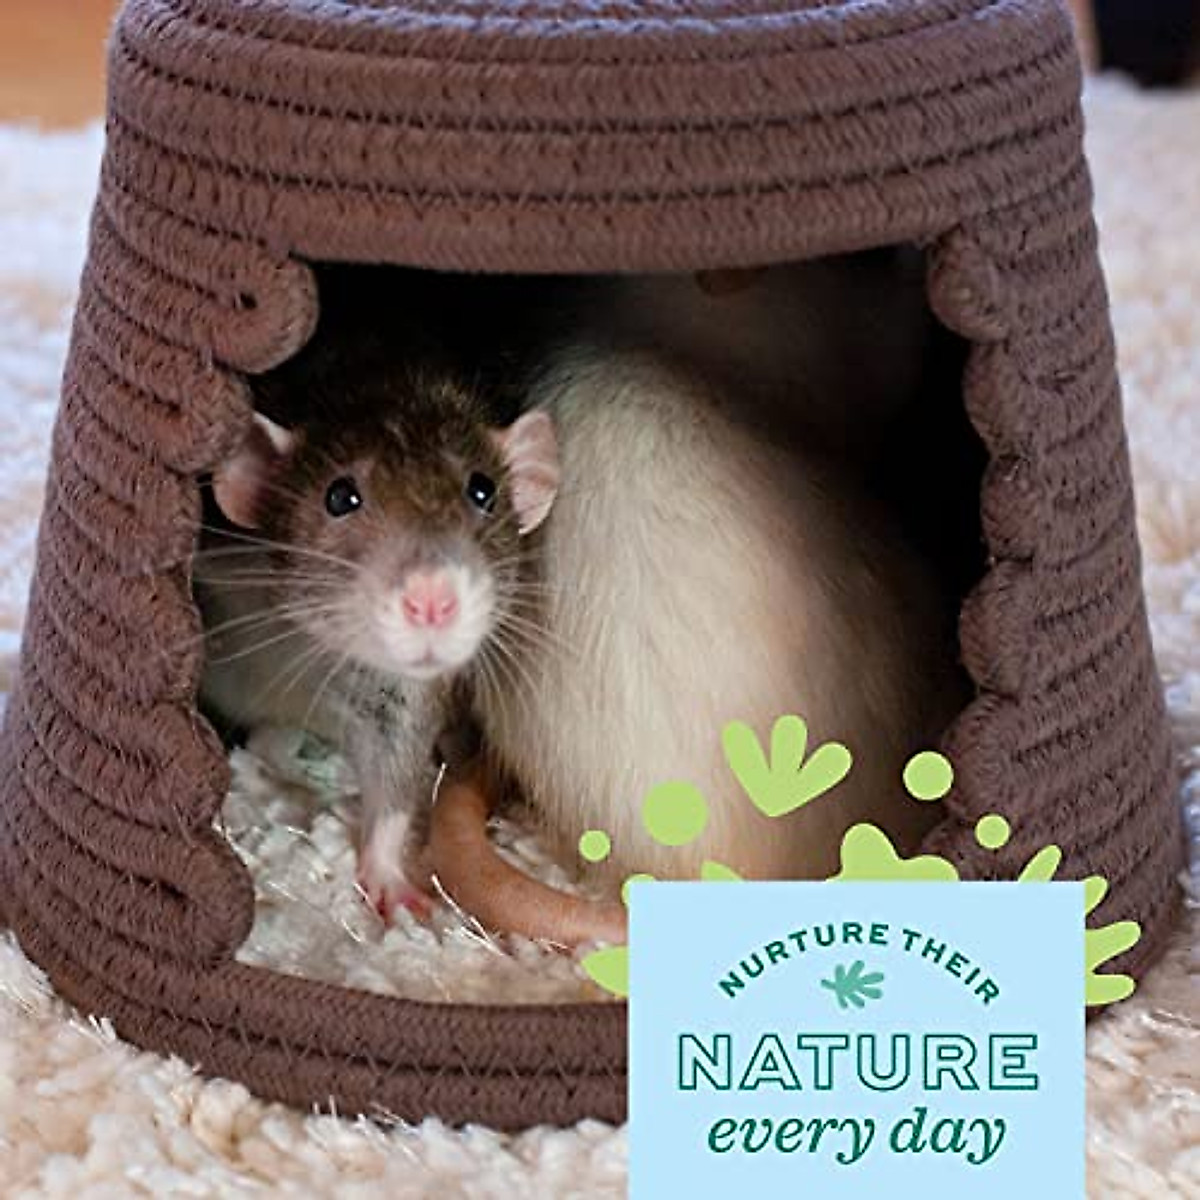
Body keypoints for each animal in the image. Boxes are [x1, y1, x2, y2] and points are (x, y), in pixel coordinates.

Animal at [195, 368, 559, 920]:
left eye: (483, 491)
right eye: (340, 497)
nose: (432, 599)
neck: (309, 643)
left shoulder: (403, 685)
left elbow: (397, 762)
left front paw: (386, 871)